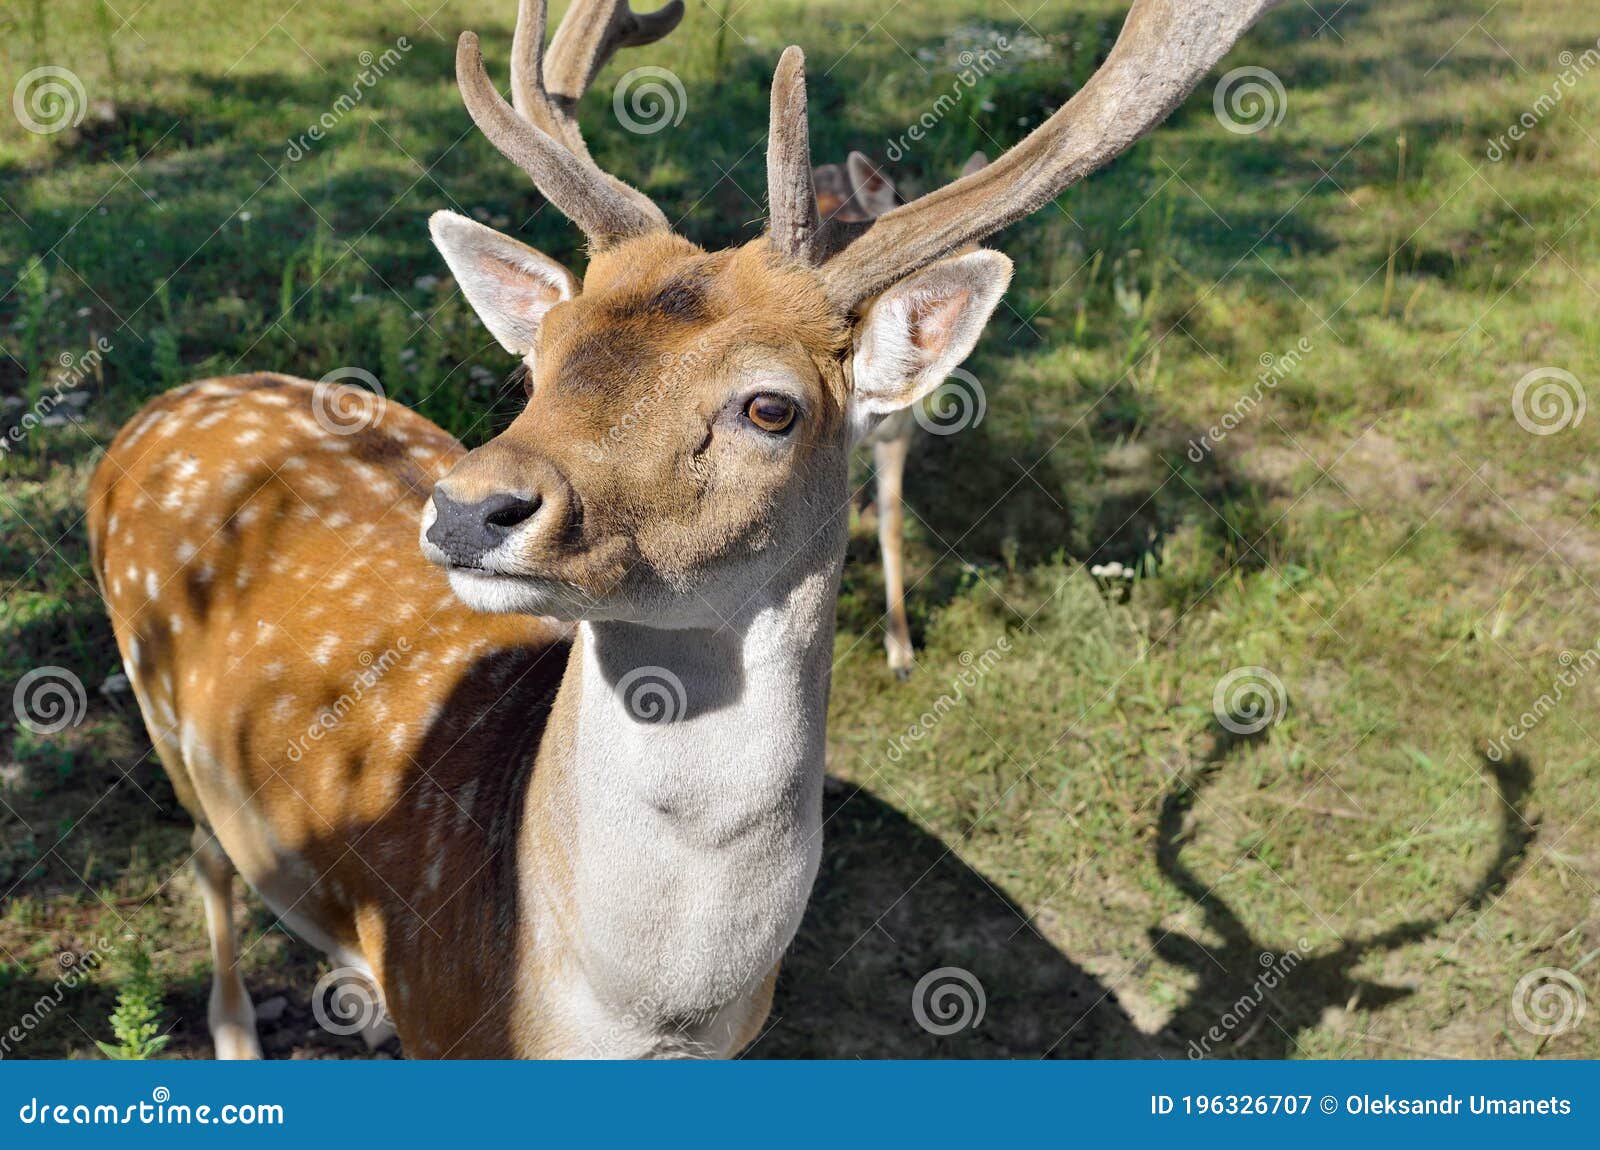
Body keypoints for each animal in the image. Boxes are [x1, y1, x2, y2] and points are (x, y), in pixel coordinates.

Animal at [87, 0, 1278, 1058]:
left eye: (770, 407)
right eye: (540, 359)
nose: (470, 505)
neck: (634, 1014)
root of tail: (158, 409)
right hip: (165, 715)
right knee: (205, 855)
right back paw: (239, 1033)